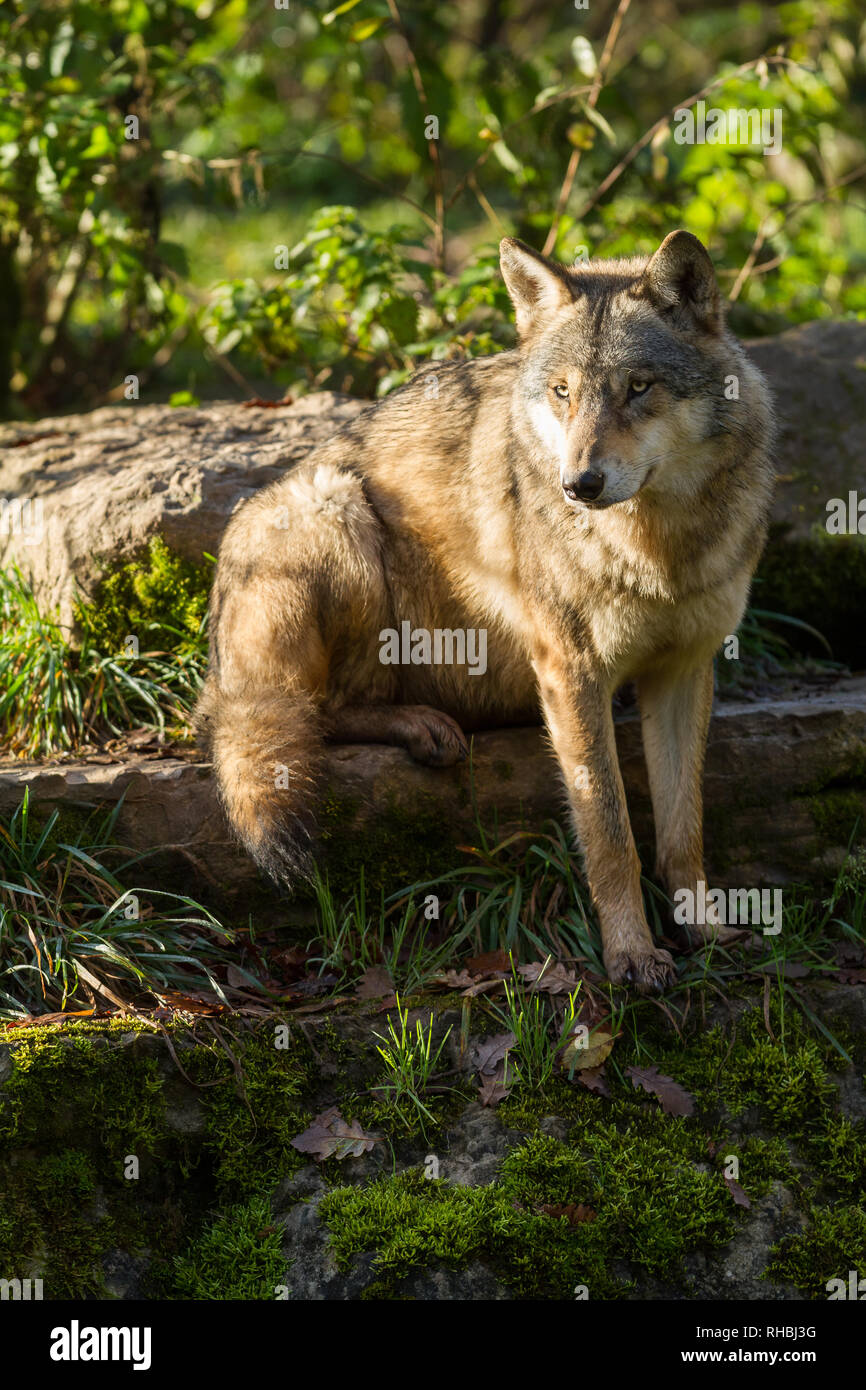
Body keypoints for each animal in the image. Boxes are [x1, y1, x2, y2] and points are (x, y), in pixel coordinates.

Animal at [195, 230, 775, 991]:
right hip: (336, 511)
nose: (578, 484)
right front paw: (630, 953)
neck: (657, 549)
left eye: (638, 387)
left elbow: (684, 831)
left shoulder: (683, 672)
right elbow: (611, 834)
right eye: (564, 393)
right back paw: (421, 725)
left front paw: (703, 930)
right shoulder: (571, 673)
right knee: (318, 709)